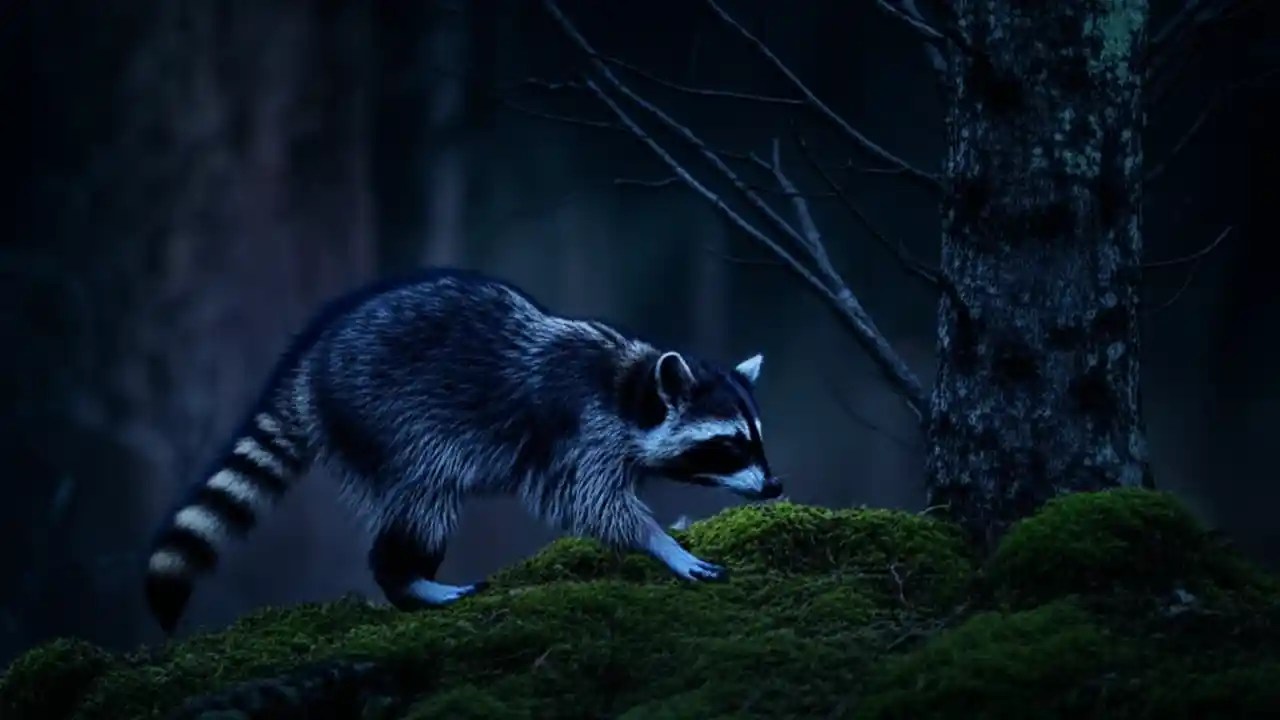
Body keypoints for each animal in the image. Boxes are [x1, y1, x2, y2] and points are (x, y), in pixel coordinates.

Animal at [145, 269, 779, 634]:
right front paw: (661, 542)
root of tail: (307, 365)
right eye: (729, 445)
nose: (775, 487)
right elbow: (590, 503)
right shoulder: (576, 432)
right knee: (425, 497)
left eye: (758, 438)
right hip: (385, 418)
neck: (631, 387)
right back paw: (407, 578)